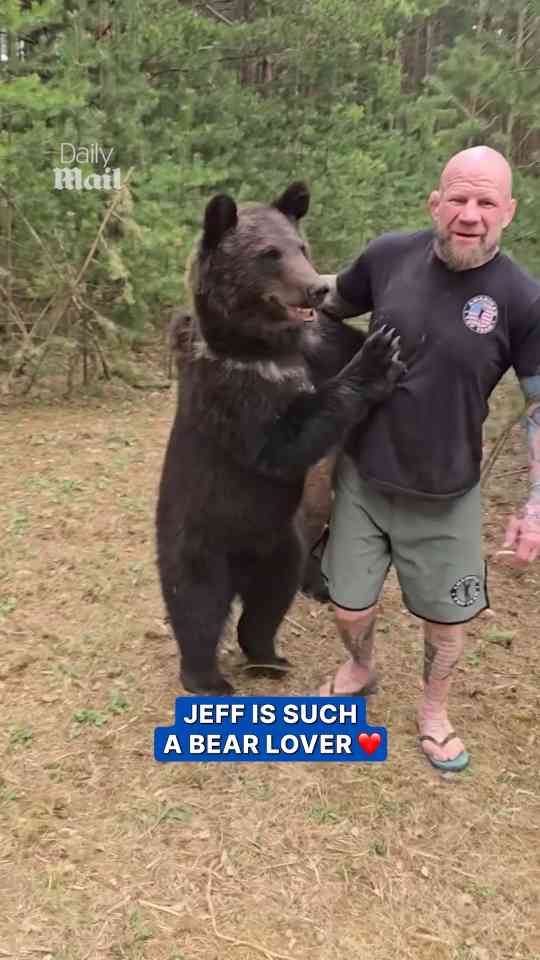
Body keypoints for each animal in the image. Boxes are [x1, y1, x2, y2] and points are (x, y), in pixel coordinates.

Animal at [155, 181, 404, 695]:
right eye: (269, 254)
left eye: (300, 247)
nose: (318, 287)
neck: (263, 350)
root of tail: (241, 567)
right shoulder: (231, 396)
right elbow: (282, 441)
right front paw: (377, 357)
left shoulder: (310, 352)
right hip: (199, 537)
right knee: (197, 606)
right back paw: (207, 678)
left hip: (279, 544)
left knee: (268, 603)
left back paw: (268, 657)